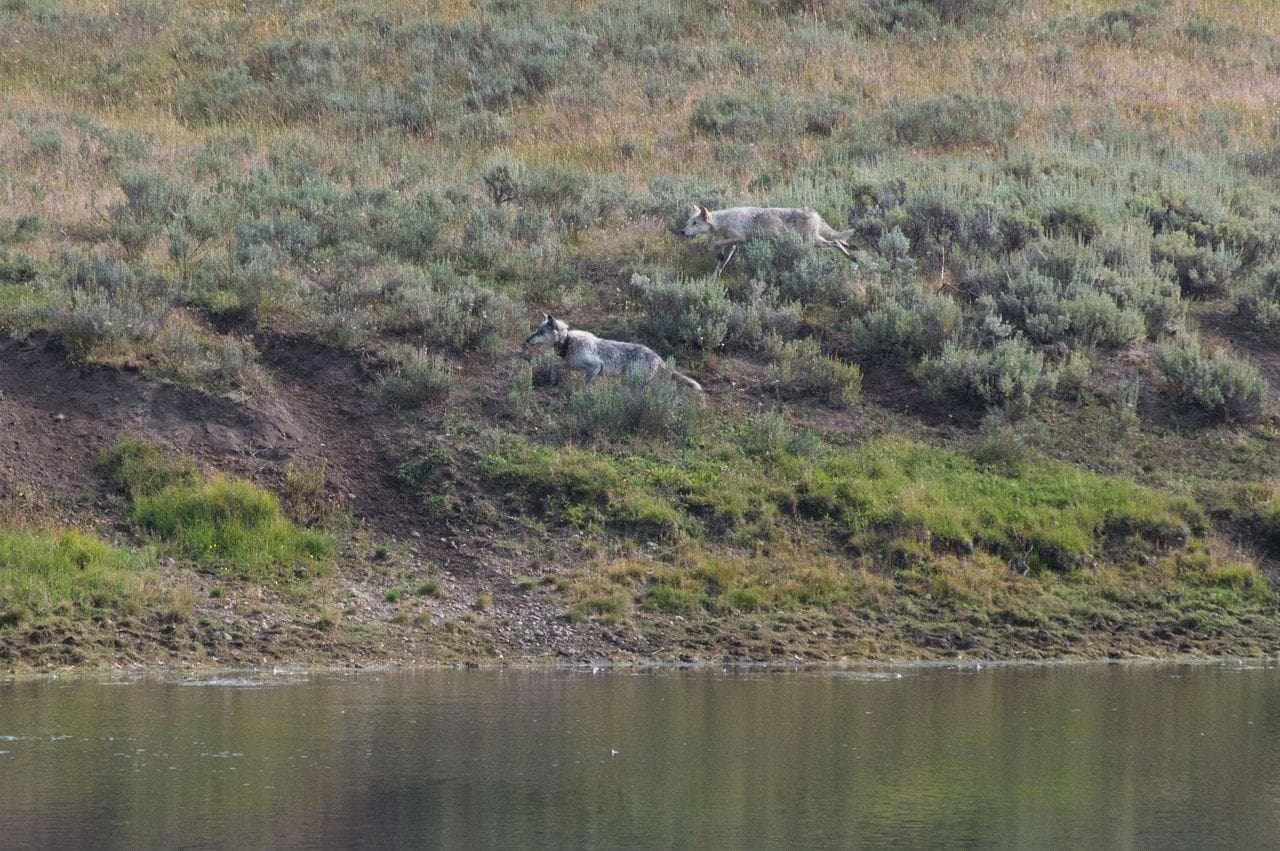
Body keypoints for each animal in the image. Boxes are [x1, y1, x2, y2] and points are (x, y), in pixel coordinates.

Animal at [523, 313, 703, 391]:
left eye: (540, 332)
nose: (526, 339)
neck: (568, 342)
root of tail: (658, 357)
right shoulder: (572, 365)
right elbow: (554, 366)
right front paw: (553, 380)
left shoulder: (595, 367)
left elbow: (584, 385)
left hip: (632, 378)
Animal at [681, 205, 857, 266]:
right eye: (689, 222)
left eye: (695, 223)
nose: (682, 232)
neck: (723, 222)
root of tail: (815, 214)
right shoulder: (732, 246)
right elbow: (719, 260)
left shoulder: (739, 239)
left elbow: (714, 244)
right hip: (816, 240)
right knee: (838, 240)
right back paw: (853, 253)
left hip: (812, 243)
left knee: (836, 242)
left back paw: (851, 256)